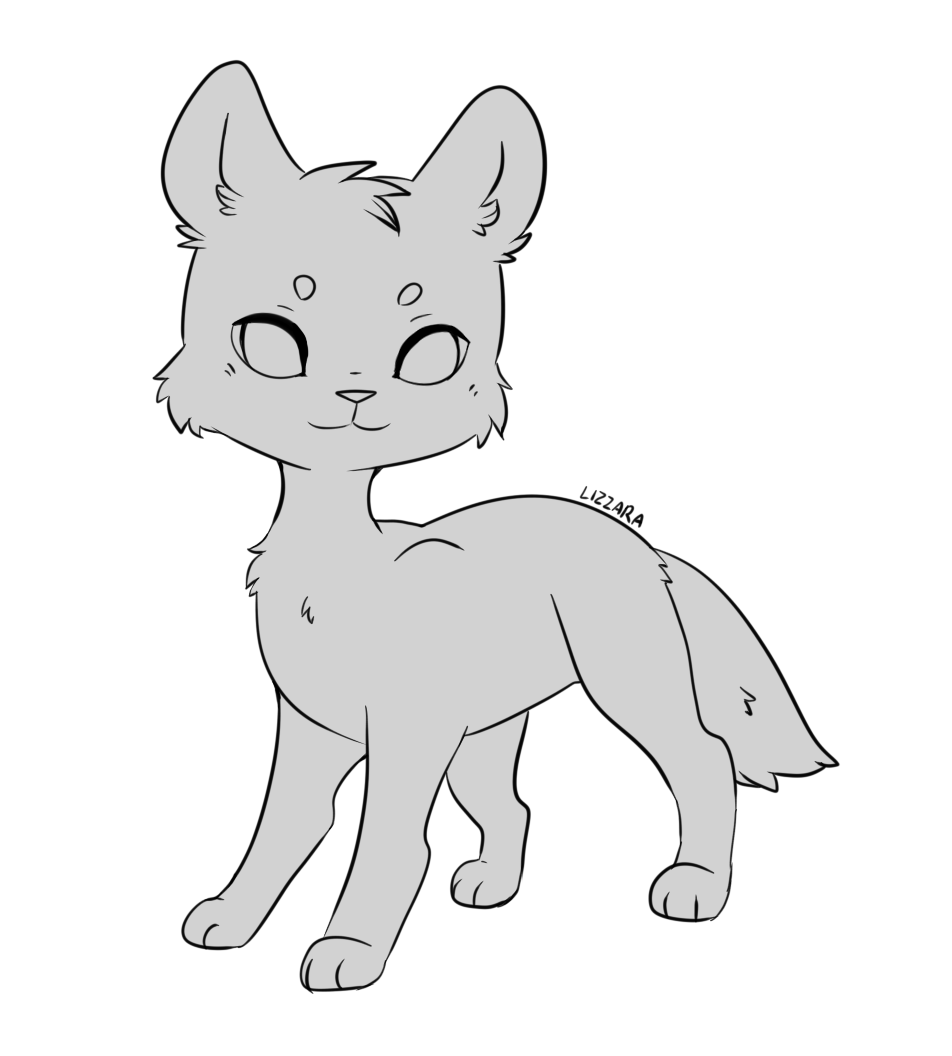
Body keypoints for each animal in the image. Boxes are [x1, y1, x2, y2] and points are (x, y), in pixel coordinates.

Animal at [156, 61, 837, 991]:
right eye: (271, 339)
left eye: (432, 350)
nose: (356, 394)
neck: (337, 574)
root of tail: (641, 544)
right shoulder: (314, 732)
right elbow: (282, 832)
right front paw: (233, 917)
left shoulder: (404, 734)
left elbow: (387, 844)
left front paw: (350, 950)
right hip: (483, 733)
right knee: (512, 804)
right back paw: (493, 886)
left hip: (624, 685)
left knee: (702, 758)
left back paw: (696, 886)